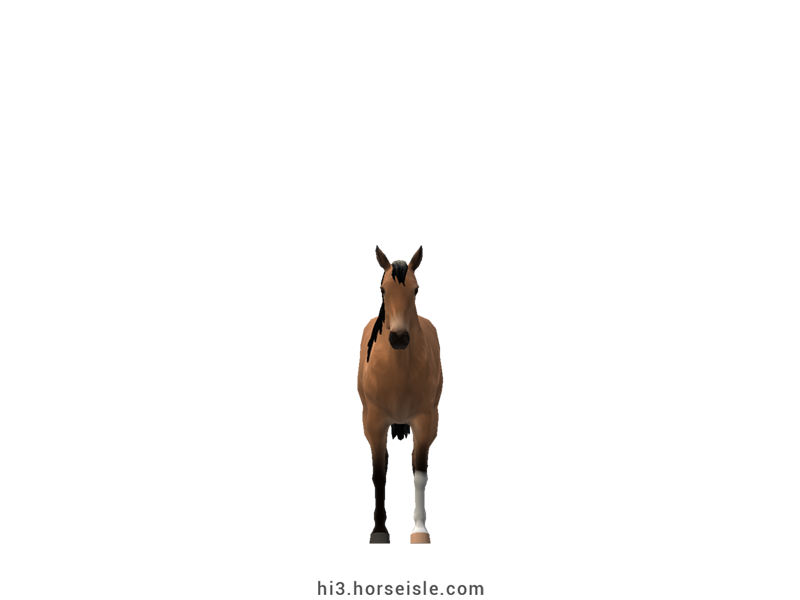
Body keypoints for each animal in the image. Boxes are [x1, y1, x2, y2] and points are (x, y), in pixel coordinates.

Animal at [358, 245, 442, 544]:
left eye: (416, 289)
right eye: (383, 289)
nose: (399, 338)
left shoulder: (424, 421)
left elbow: (420, 475)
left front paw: (420, 531)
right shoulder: (374, 423)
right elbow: (378, 475)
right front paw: (379, 531)